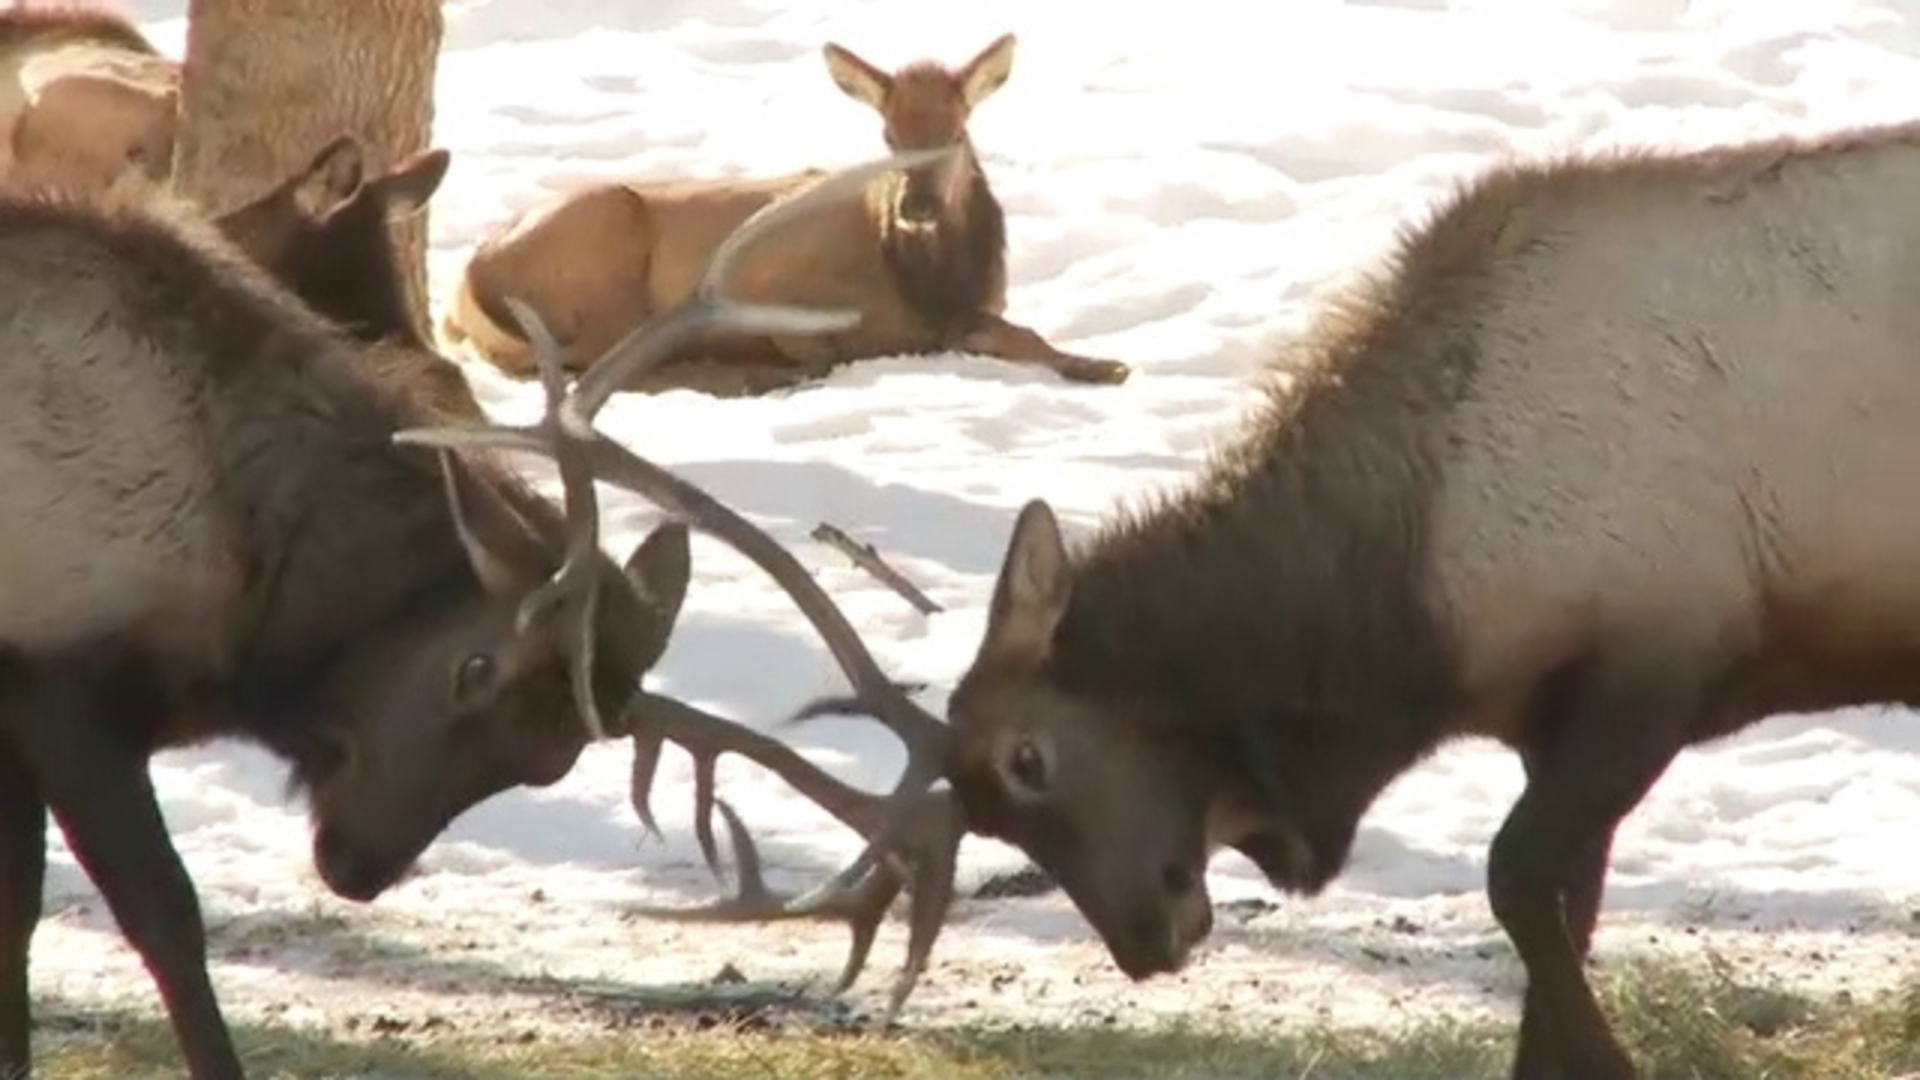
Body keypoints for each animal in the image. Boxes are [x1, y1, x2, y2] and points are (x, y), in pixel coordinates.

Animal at [0, 138, 962, 1079]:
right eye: (471, 666)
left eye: (550, 759)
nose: (355, 868)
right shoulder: (62, 684)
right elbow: (161, 912)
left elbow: (23, 912)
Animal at [440, 32, 1134, 397]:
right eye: (887, 134)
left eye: (957, 131)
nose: (915, 206)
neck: (925, 281)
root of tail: (464, 290)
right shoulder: (758, 270)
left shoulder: (976, 309)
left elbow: (1018, 334)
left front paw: (1098, 364)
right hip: (608, 224)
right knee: (606, 364)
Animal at [550, 118, 1920, 1080]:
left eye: (1029, 760)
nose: (1143, 945)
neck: (1408, 601)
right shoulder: (1556, 712)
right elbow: (1559, 914)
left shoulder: (1660, 651)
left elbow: (1517, 884)